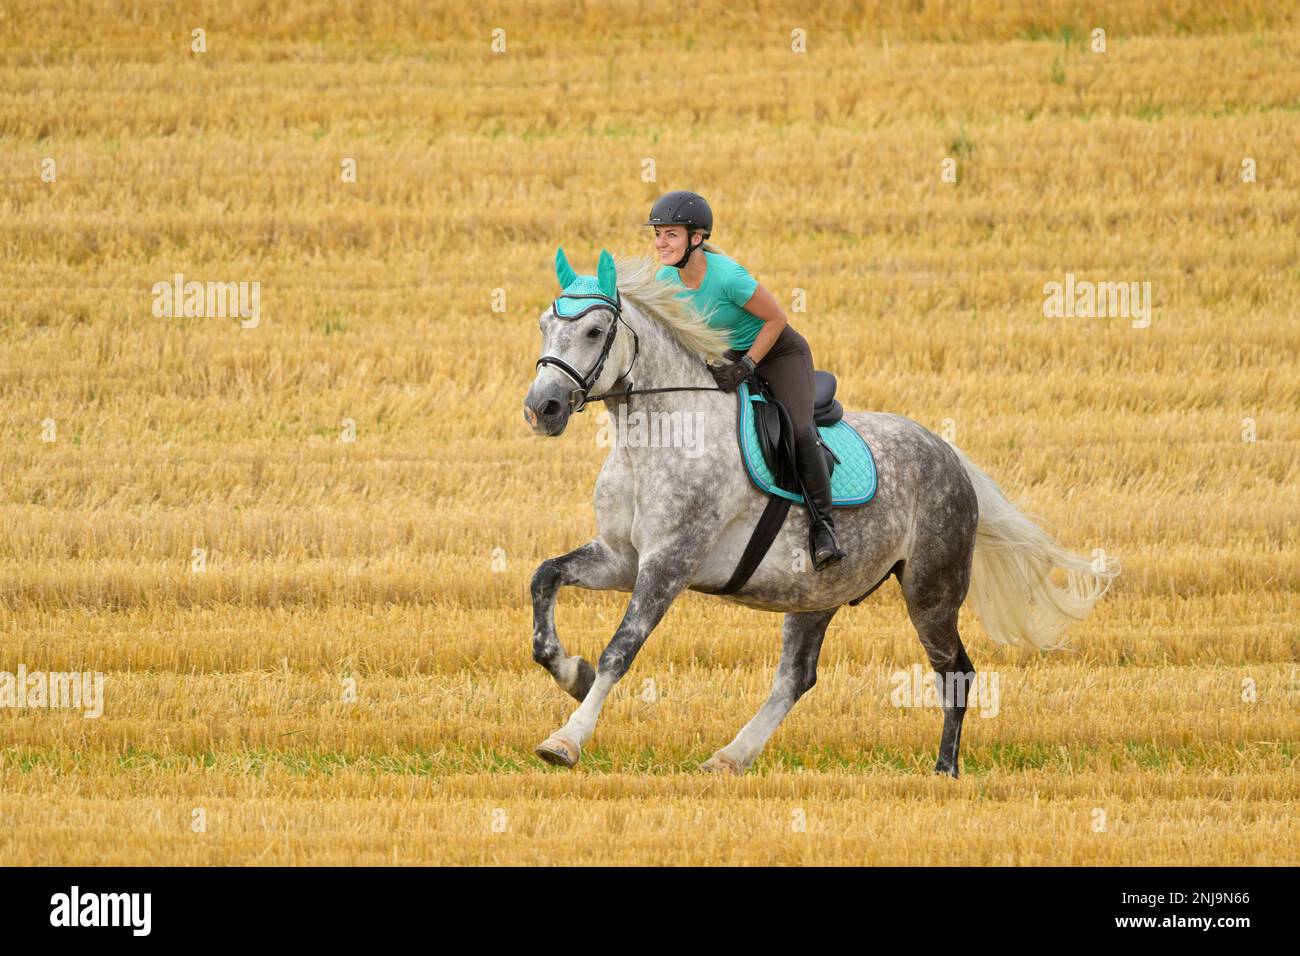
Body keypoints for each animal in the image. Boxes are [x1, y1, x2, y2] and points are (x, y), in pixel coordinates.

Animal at [522, 247, 1120, 776]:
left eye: (595, 331)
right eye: (544, 325)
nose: (541, 409)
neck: (654, 437)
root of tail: (950, 457)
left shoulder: (671, 562)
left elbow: (621, 649)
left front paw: (565, 741)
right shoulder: (623, 558)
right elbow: (545, 577)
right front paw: (569, 671)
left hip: (930, 590)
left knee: (957, 673)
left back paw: (945, 768)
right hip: (815, 591)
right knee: (796, 677)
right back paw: (729, 759)